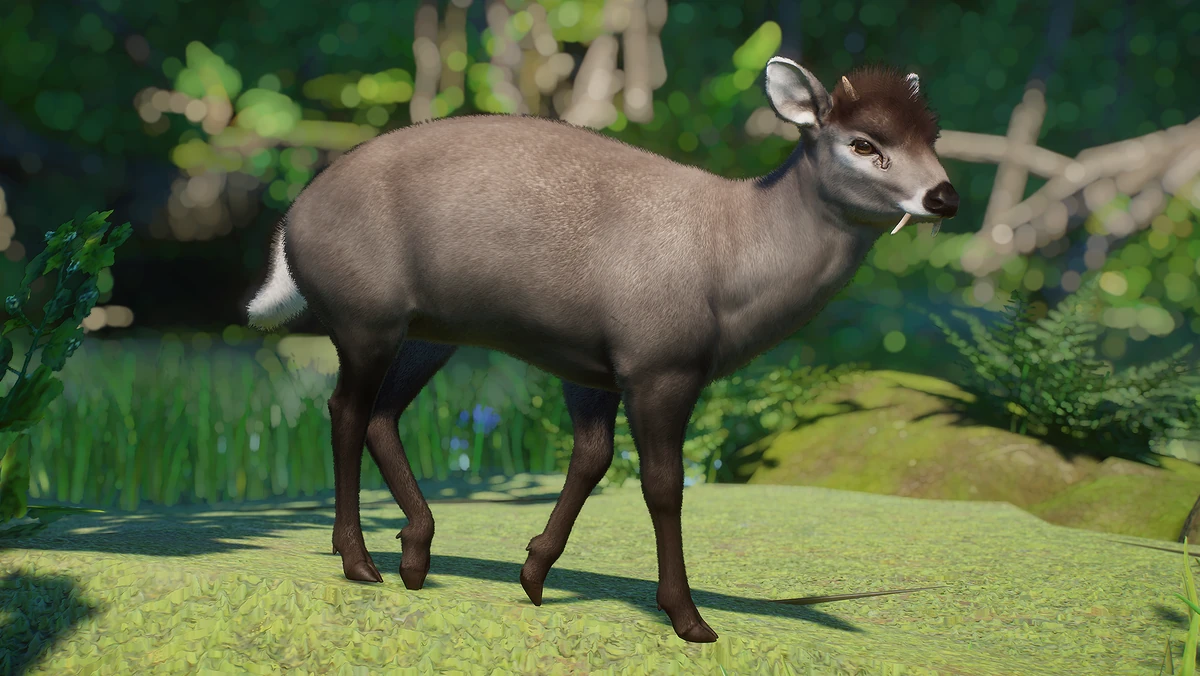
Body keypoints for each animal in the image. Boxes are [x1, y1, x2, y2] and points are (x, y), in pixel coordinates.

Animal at [245, 56, 958, 643]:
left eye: (933, 135)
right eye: (863, 143)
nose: (944, 195)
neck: (731, 265)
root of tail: (288, 224)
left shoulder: (591, 365)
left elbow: (590, 460)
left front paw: (534, 572)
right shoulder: (657, 363)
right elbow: (663, 485)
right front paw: (689, 619)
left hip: (426, 333)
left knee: (382, 414)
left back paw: (416, 555)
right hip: (365, 318)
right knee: (344, 411)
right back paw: (360, 561)